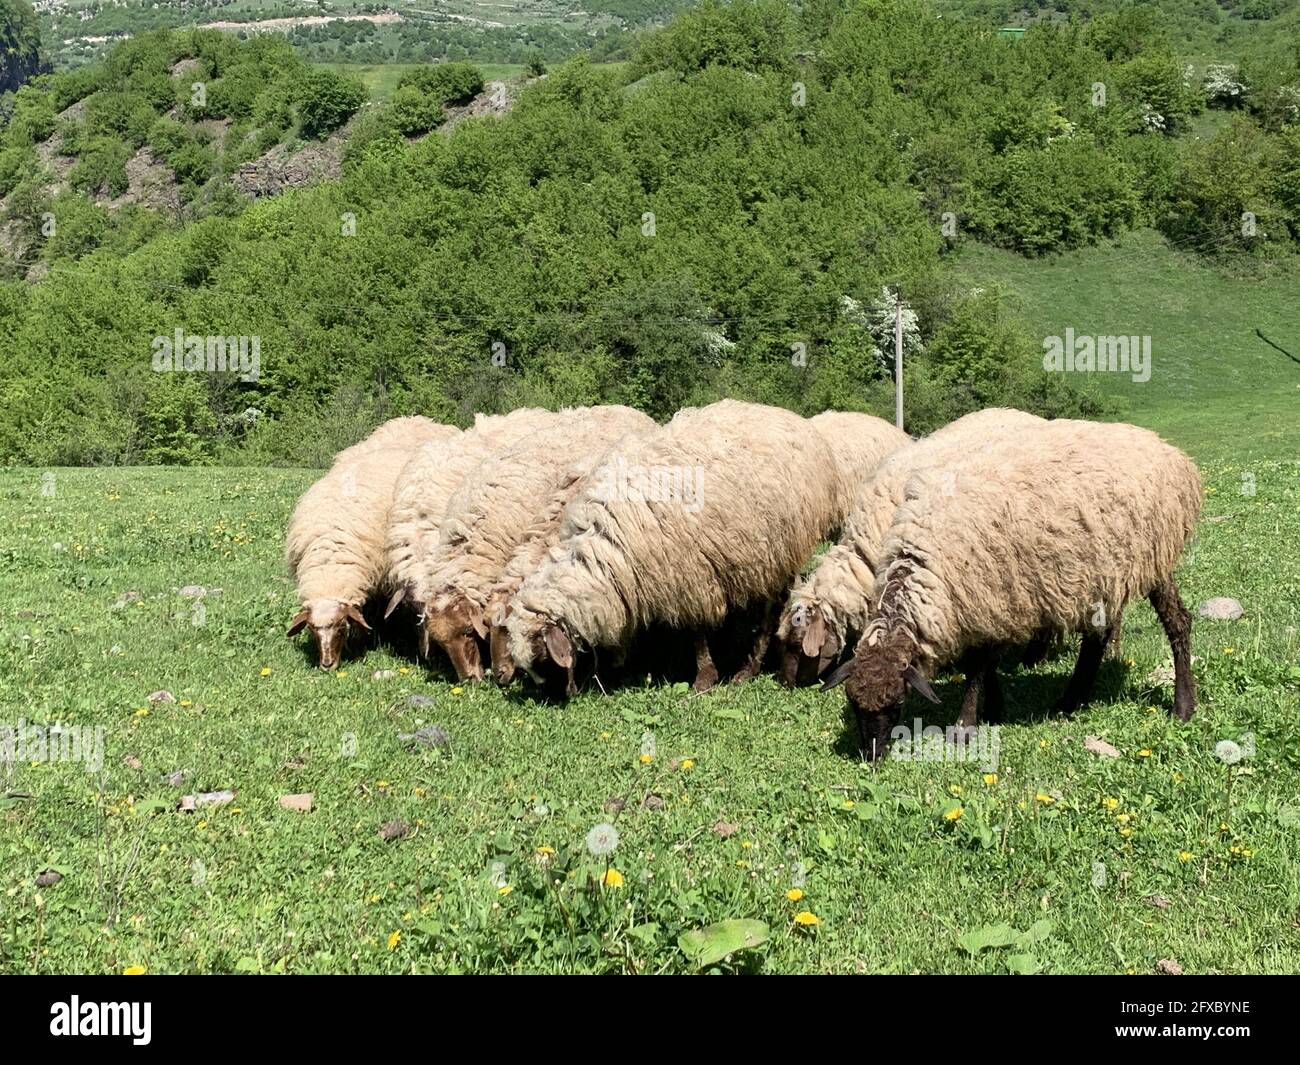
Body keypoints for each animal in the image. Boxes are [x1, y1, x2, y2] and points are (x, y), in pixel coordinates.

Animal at [505, 399, 842, 695]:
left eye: (542, 656)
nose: (556, 697)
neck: (601, 552)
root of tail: (792, 419)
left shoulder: (690, 577)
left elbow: (697, 635)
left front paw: (704, 679)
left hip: (781, 553)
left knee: (769, 615)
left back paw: (748, 668)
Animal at [823, 417, 1202, 758]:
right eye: (853, 703)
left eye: (898, 701)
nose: (872, 755)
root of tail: (1171, 453)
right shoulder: (985, 605)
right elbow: (985, 665)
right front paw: (994, 707)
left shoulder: (989, 595)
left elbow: (977, 666)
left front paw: (965, 727)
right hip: (1101, 572)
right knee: (1098, 637)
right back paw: (1070, 700)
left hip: (1152, 555)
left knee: (1177, 622)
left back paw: (1182, 707)